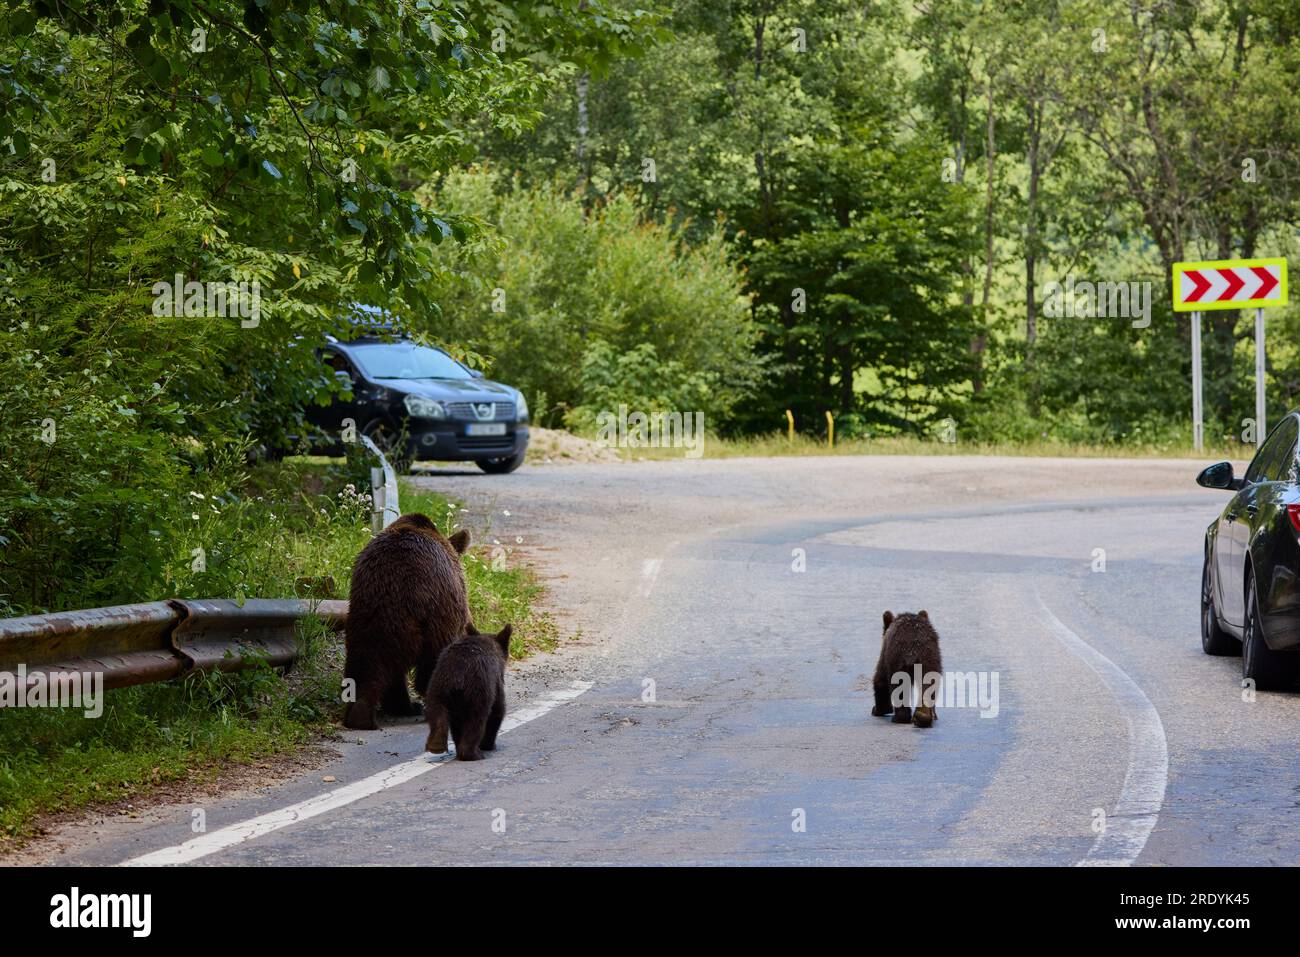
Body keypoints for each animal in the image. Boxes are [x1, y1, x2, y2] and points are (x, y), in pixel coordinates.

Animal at [424, 622, 512, 761]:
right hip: (478, 690)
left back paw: (436, 746)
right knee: (476, 721)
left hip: (437, 686)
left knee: (438, 714)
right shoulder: (495, 680)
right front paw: (489, 744)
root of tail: (457, 674)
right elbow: (498, 709)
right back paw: (473, 753)